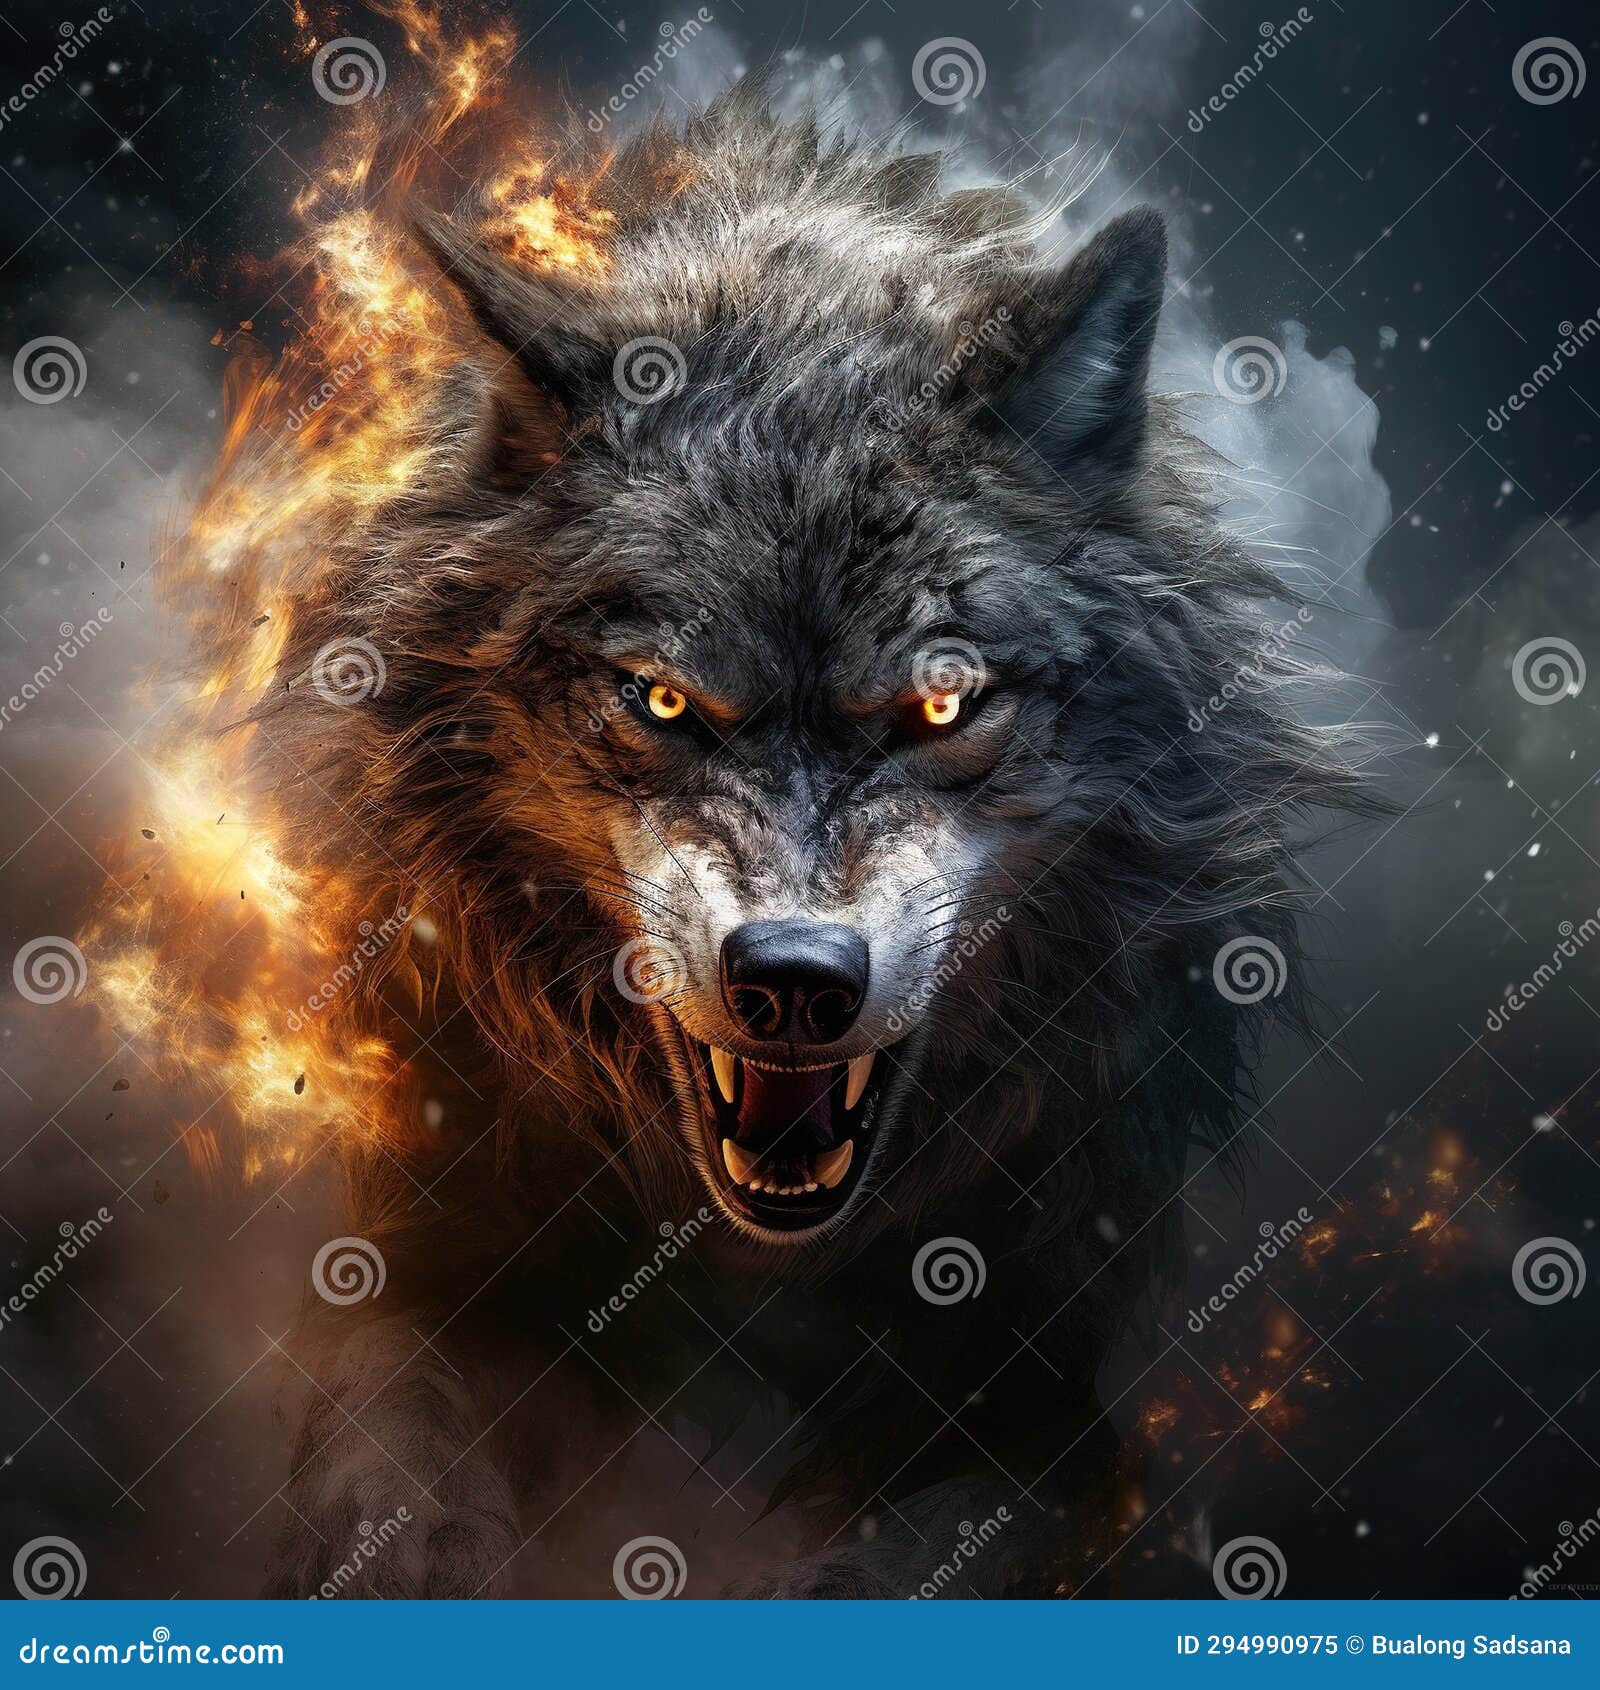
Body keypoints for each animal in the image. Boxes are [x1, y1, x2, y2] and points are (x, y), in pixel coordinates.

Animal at [259, 87, 1370, 1599]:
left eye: (940, 704)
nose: (792, 978)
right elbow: (390, 1482)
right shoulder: (437, 1272)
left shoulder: (1036, 1407)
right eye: (665, 700)